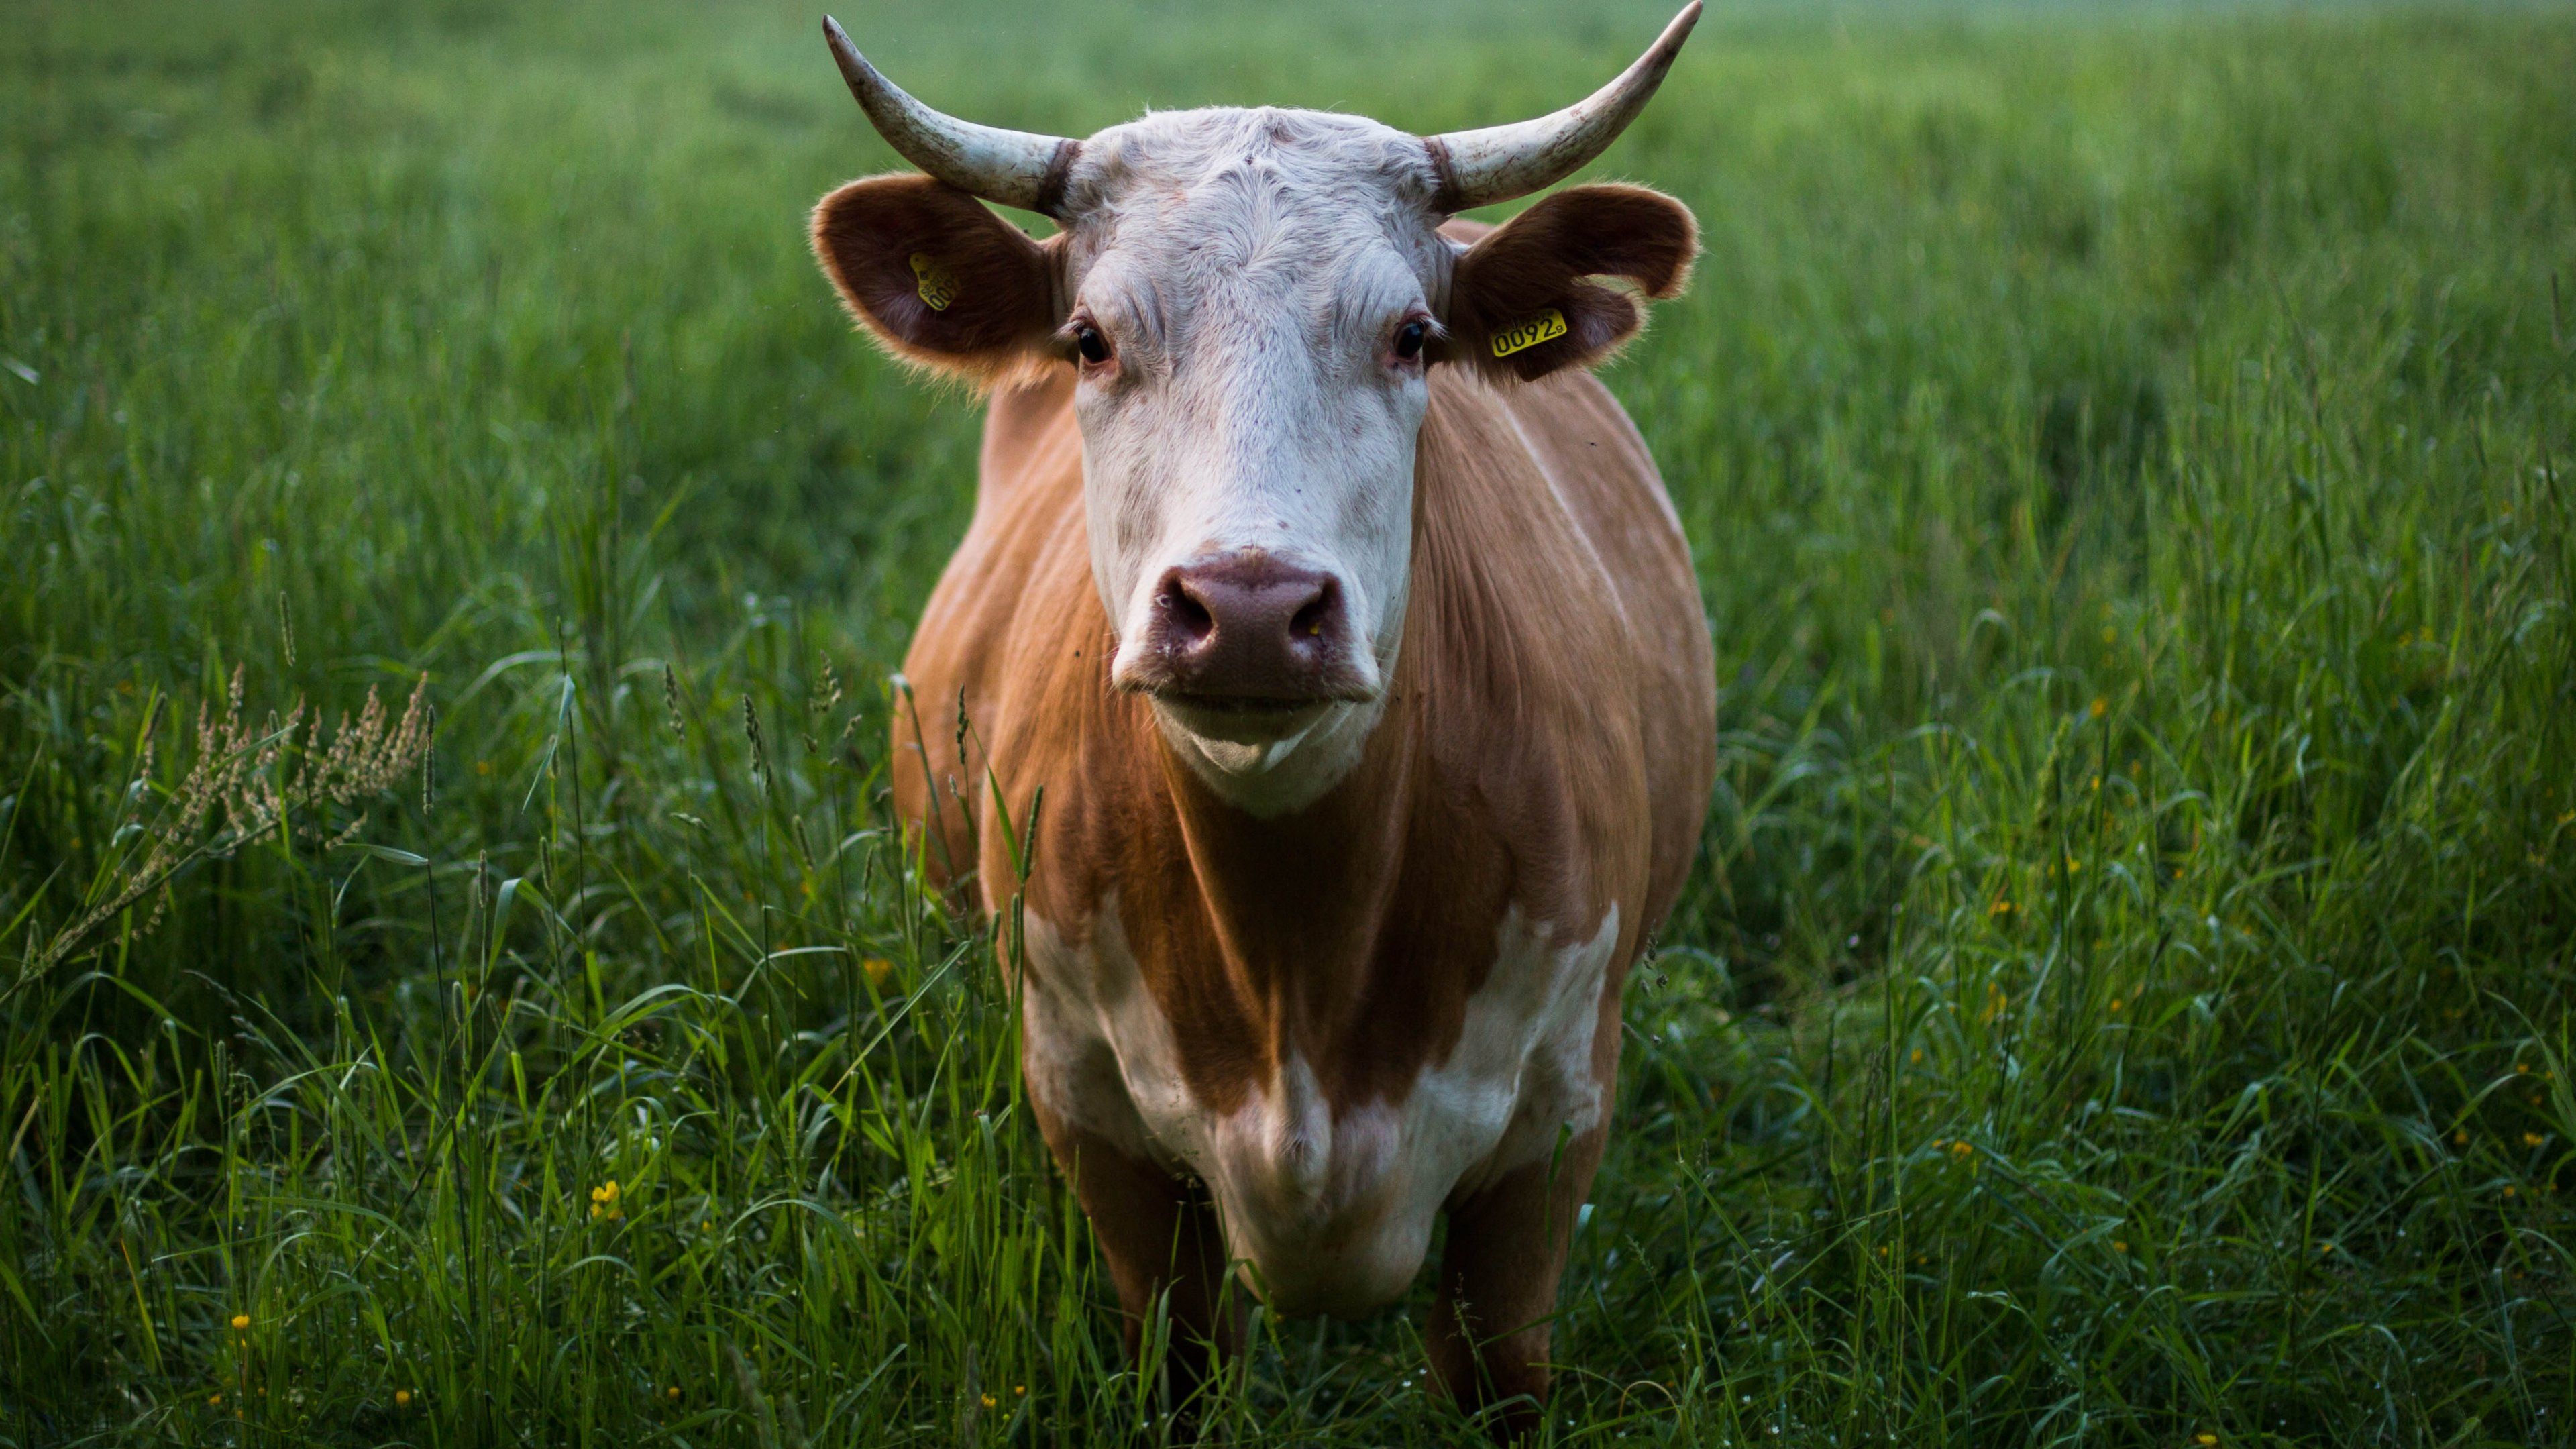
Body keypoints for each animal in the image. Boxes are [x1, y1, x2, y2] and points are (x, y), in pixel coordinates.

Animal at [808, 5, 1716, 1434]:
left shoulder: (1556, 1132)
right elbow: (1182, 1362)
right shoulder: (1094, 1121)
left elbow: (1499, 1375)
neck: (1299, 961)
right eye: (1089, 338)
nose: (1246, 607)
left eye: (1413, 337)